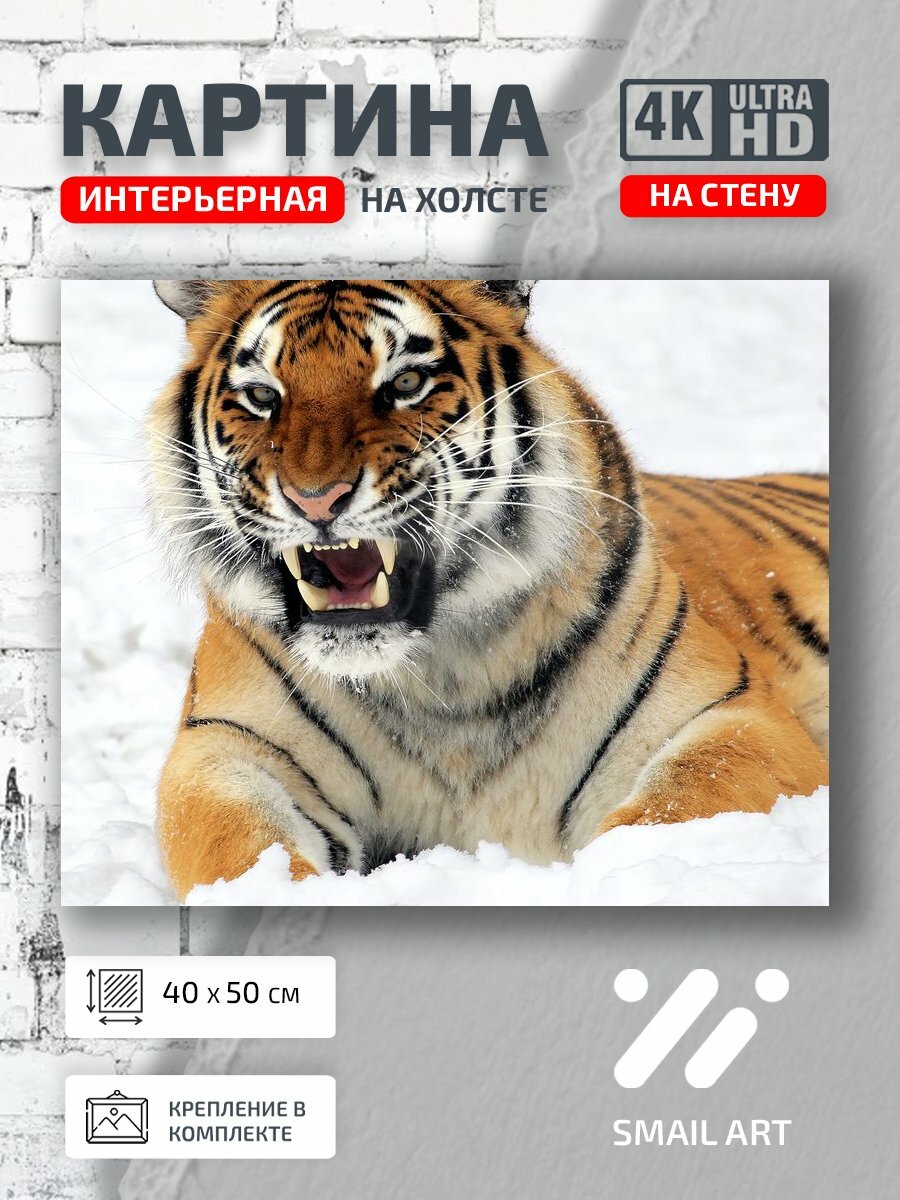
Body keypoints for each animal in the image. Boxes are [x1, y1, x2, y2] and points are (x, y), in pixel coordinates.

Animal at [148, 278, 829, 901]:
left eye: (405, 384)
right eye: (262, 395)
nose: (315, 499)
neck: (442, 676)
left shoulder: (730, 713)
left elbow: (678, 805)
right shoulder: (226, 746)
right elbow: (239, 844)